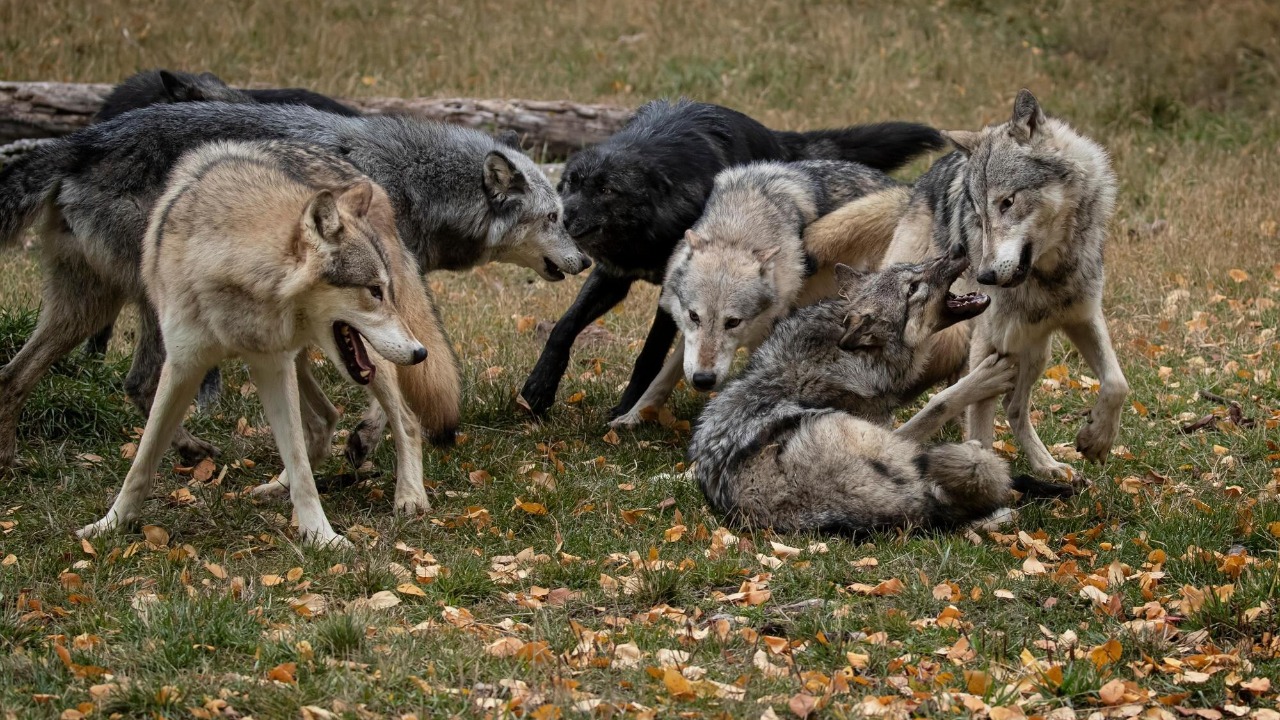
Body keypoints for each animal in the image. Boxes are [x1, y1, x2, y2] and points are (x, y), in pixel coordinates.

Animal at [0, 101, 584, 467]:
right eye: (554, 217)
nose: (583, 261)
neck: (417, 184)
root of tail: (81, 142)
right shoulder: (372, 303)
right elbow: (392, 379)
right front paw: (362, 441)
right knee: (140, 382)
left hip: (86, 311)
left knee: (17, 377)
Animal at [78, 140, 431, 547]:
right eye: (373, 291)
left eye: (384, 290)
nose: (421, 353)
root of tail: (359, 174)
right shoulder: (184, 366)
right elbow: (142, 460)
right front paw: (110, 525)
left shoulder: (273, 367)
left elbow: (301, 466)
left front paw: (321, 537)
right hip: (300, 364)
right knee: (326, 418)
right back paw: (277, 486)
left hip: (355, 362)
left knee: (405, 420)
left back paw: (410, 496)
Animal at [609, 159, 900, 427]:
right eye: (694, 317)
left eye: (733, 322)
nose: (703, 380)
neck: (737, 230)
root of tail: (898, 187)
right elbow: (662, 378)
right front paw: (634, 416)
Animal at [690, 251, 1071, 534]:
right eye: (913, 288)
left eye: (916, 266)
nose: (959, 251)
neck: (851, 357)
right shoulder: (894, 427)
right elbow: (939, 402)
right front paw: (987, 376)